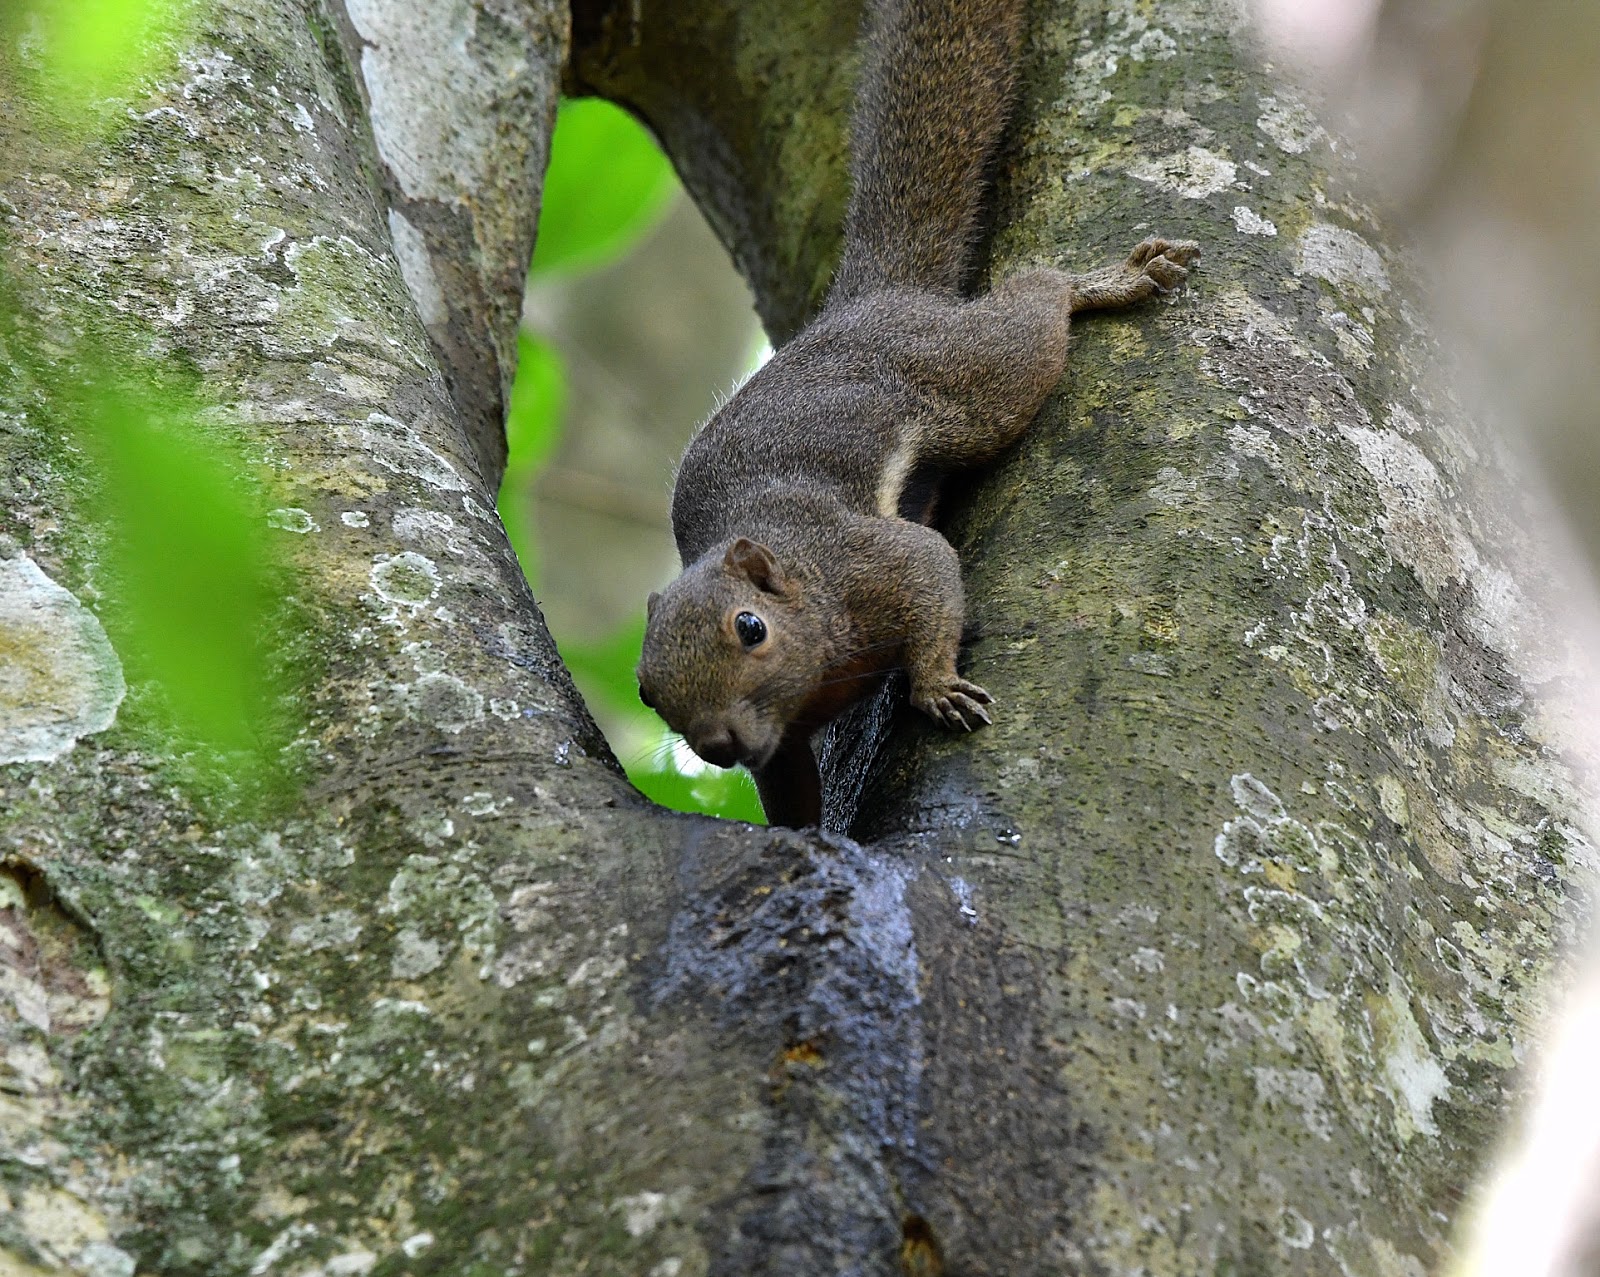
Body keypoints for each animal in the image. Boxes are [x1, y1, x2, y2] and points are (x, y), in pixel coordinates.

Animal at [635, 0, 1200, 829]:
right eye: (647, 691)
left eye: (750, 627)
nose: (717, 744)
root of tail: (869, 302)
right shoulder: (781, 744)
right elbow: (789, 788)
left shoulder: (869, 560)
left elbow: (932, 576)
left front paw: (936, 687)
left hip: (971, 374)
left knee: (1034, 306)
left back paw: (1104, 282)